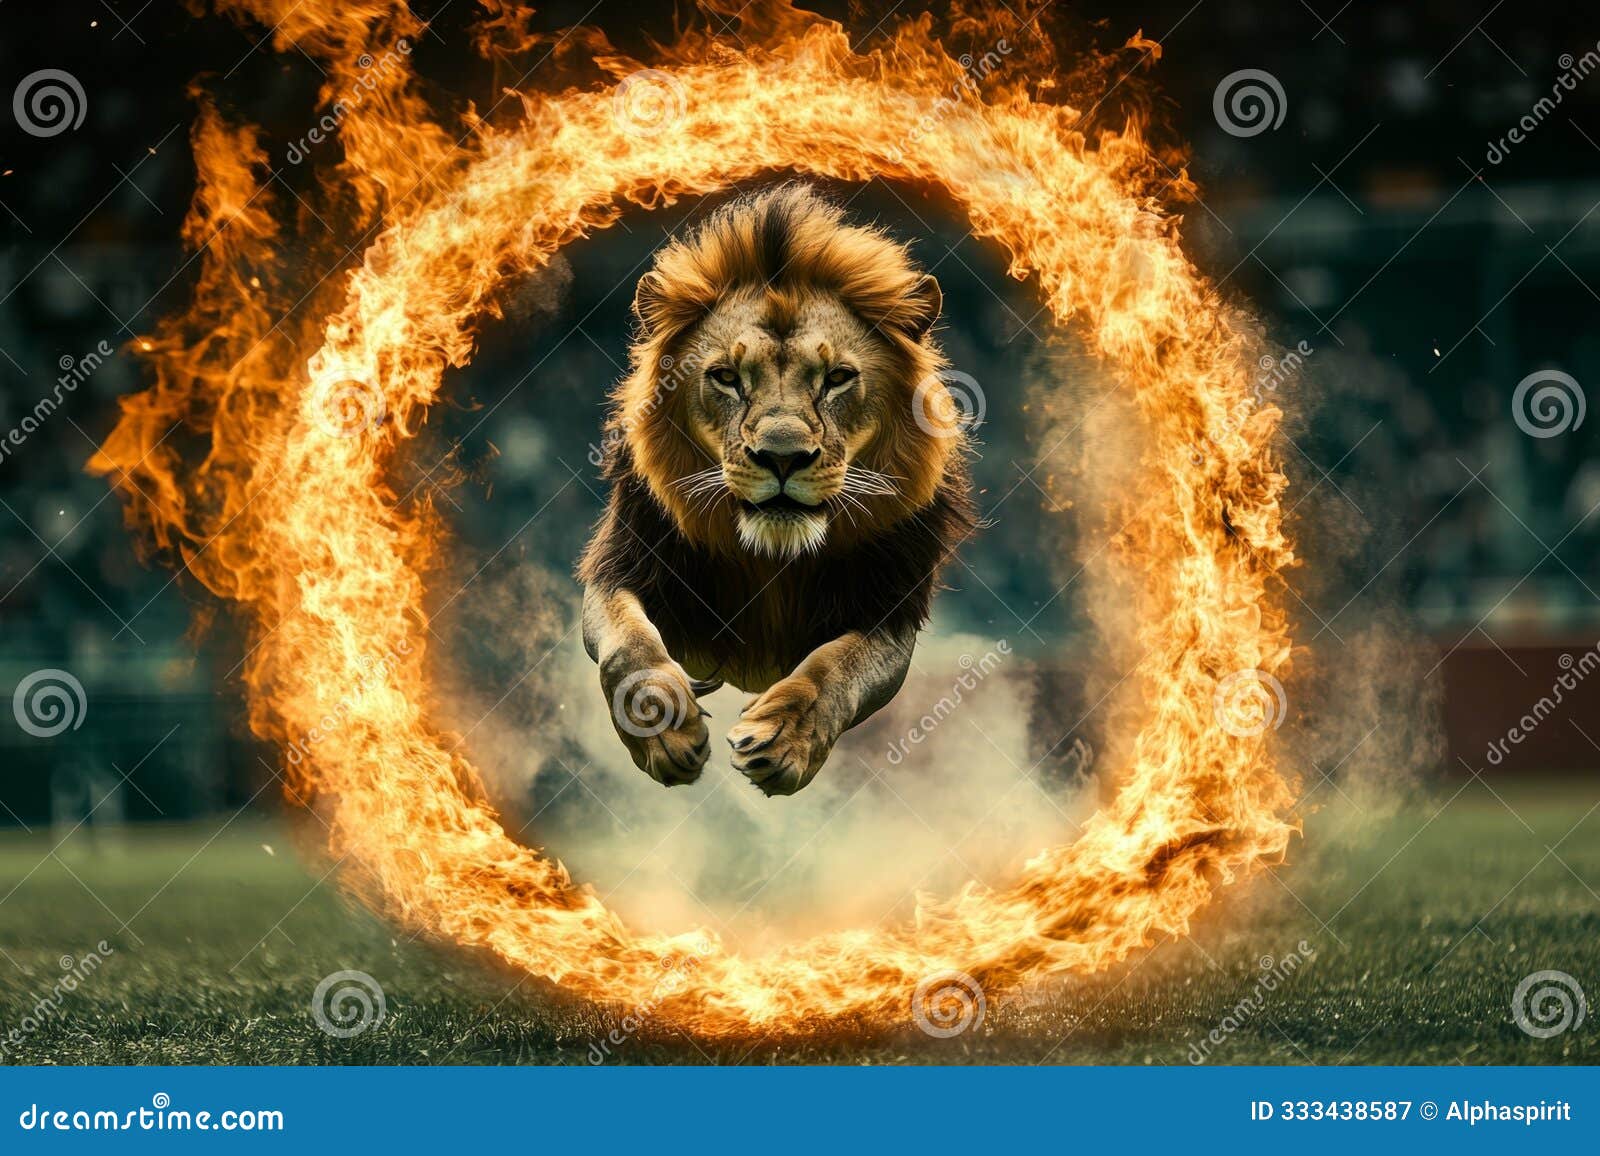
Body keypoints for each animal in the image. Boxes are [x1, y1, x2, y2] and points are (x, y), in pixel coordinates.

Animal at [578, 184, 976, 796]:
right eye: (726, 377)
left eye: (837, 378)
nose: (783, 456)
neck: (772, 560)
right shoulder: (619, 568)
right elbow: (628, 648)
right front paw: (662, 727)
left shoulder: (890, 613)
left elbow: (834, 668)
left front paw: (784, 739)